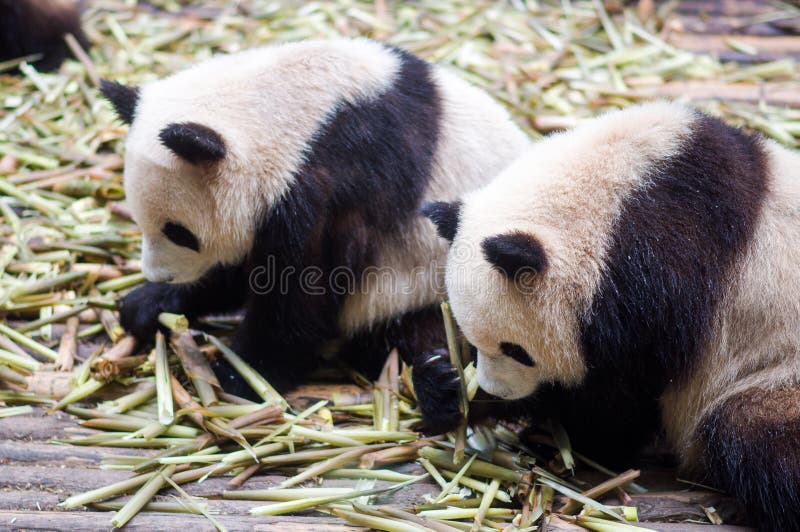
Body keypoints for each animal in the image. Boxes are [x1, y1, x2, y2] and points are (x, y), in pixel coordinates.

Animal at [100, 38, 531, 434]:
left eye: (179, 232)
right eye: (140, 220)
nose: (160, 274)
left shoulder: (337, 181)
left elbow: (303, 297)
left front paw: (241, 374)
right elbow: (245, 272)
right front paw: (149, 302)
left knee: (434, 335)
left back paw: (440, 387)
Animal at [422, 101, 800, 531]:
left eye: (516, 350)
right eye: (472, 341)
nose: (495, 389)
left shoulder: (658, 286)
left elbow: (617, 401)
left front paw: (559, 437)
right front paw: (443, 383)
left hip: (774, 373)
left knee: (756, 437)